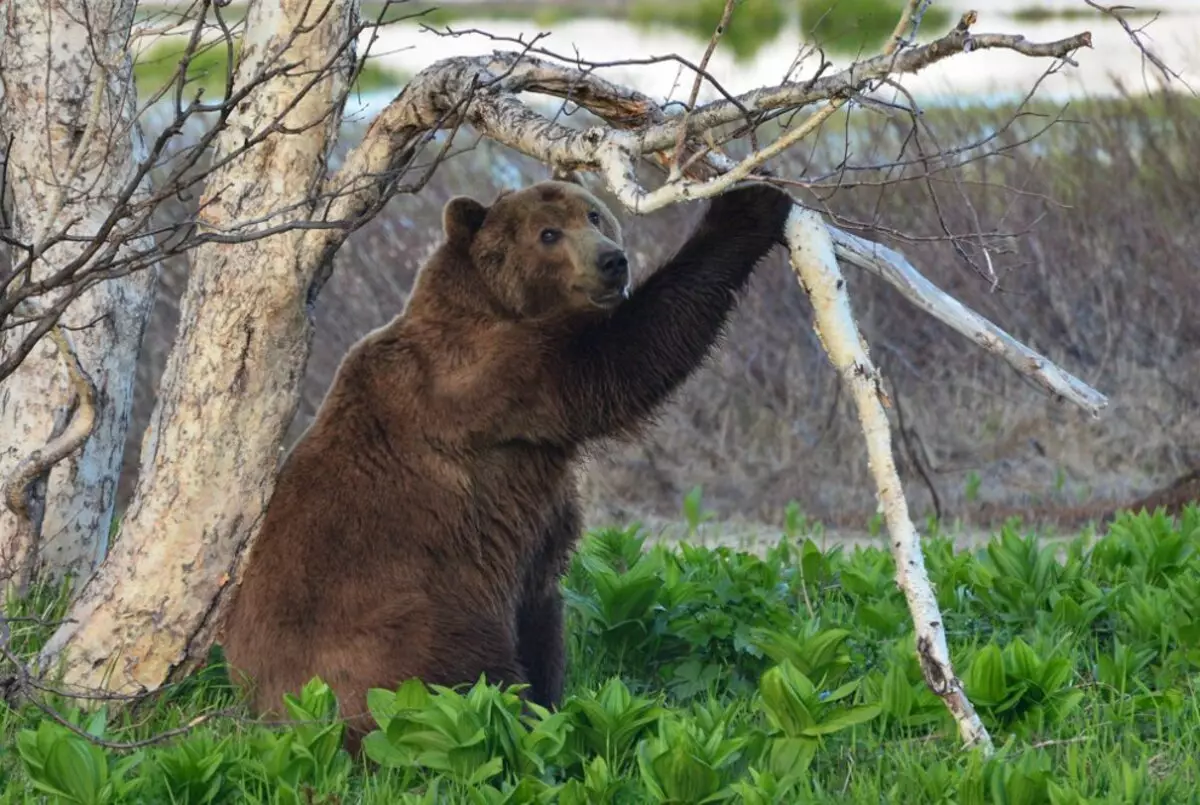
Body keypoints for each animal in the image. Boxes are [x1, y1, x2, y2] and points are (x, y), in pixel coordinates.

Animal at [219, 177, 792, 758]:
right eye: (548, 233)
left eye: (594, 214)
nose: (612, 260)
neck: (501, 305)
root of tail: (267, 707)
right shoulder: (489, 377)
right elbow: (625, 355)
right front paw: (749, 204)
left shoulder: (535, 531)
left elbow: (543, 618)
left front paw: (551, 702)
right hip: (401, 627)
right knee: (456, 680)